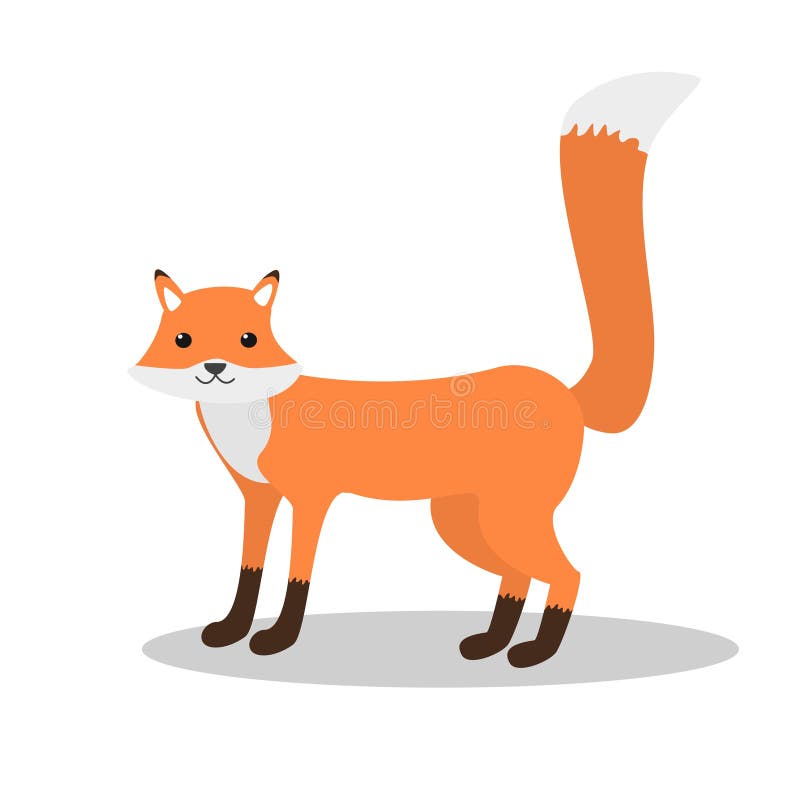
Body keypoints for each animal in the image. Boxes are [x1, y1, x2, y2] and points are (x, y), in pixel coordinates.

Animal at [131, 73, 698, 667]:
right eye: (183, 340)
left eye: (248, 340)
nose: (216, 367)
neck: (249, 421)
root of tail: (561, 388)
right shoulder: (257, 497)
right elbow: (248, 571)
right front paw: (231, 630)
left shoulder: (311, 499)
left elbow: (295, 578)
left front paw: (279, 639)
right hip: (463, 521)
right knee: (517, 577)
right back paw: (491, 643)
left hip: (506, 517)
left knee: (569, 573)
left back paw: (536, 651)